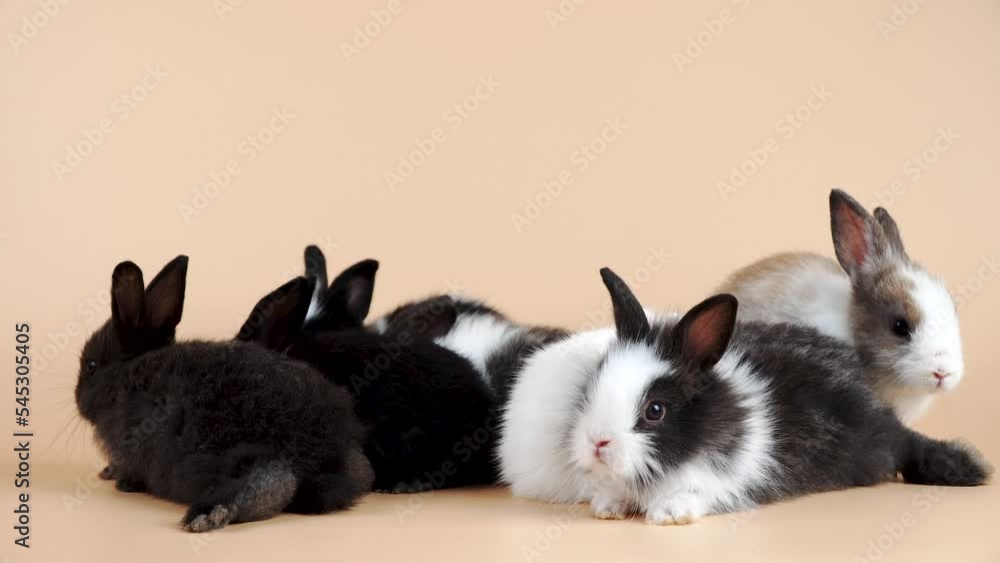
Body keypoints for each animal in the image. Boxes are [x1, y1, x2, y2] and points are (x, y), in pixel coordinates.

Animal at [76, 256, 373, 533]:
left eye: (91, 365)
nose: (78, 400)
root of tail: (327, 446)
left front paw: (118, 478)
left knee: (274, 478)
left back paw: (210, 514)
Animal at [498, 268, 991, 525]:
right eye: (592, 385)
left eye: (655, 410)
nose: (597, 444)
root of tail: (890, 423)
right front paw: (608, 507)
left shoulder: (725, 477)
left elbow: (698, 490)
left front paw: (669, 513)